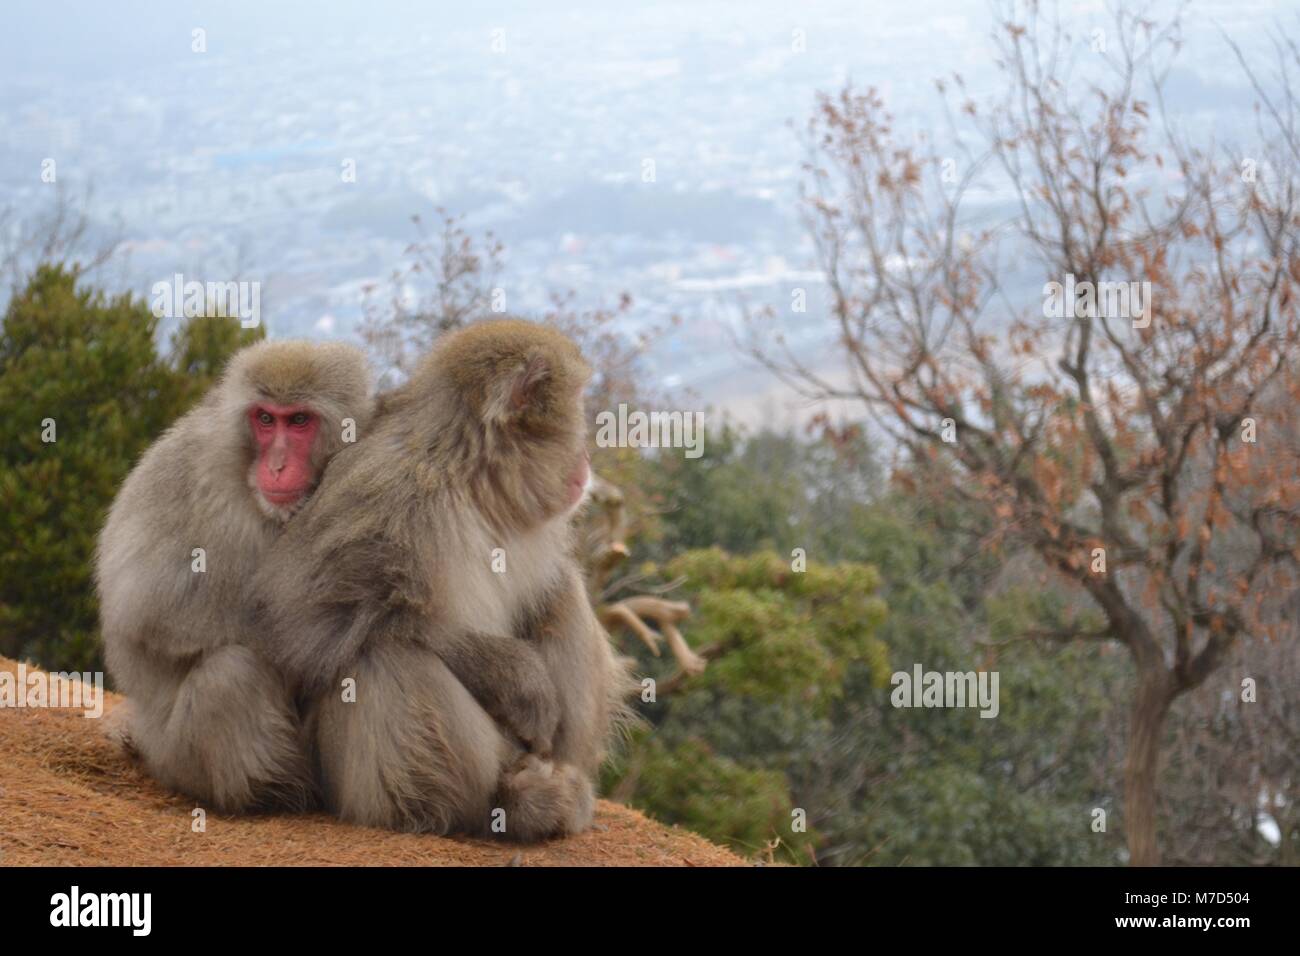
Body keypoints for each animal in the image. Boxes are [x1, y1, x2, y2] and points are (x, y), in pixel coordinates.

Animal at [95, 340, 375, 813]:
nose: (276, 466)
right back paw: (280, 793)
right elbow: (147, 604)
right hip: (176, 759)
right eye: (265, 419)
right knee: (229, 676)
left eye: (298, 421)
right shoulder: (201, 477)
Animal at [254, 319, 630, 840]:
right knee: (381, 653)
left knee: (560, 596)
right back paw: (495, 809)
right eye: (576, 407)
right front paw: (516, 677)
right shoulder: (386, 497)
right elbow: (300, 628)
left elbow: (547, 592)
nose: (586, 460)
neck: (468, 478)